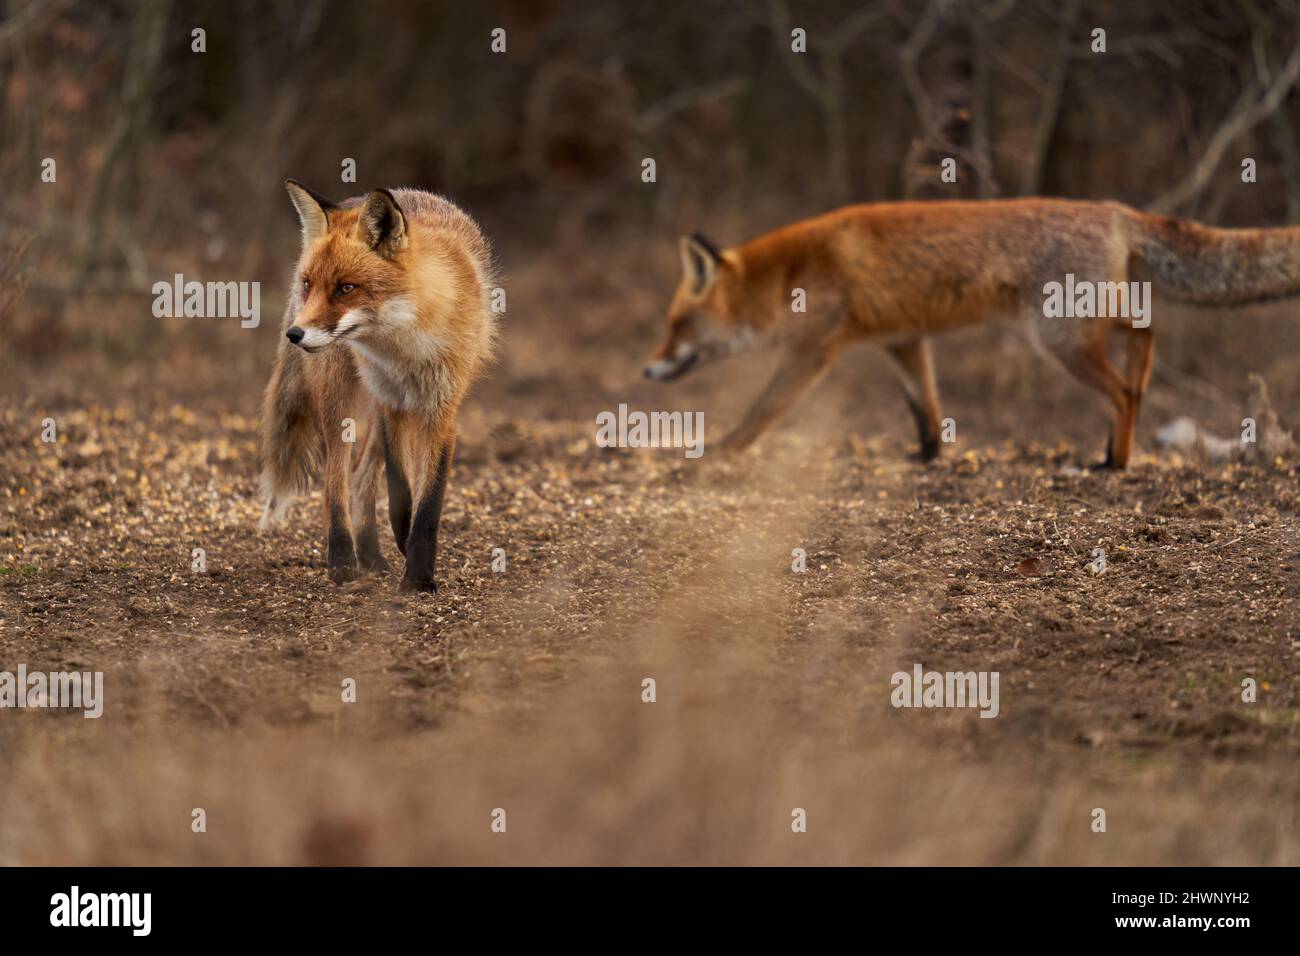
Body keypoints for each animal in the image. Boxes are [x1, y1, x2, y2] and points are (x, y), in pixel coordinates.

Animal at [258, 180, 496, 592]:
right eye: (310, 284)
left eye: (346, 288)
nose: (295, 334)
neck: (405, 347)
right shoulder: (390, 401)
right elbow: (400, 488)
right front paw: (403, 542)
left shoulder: (441, 410)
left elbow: (429, 499)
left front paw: (418, 576)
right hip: (341, 398)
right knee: (336, 480)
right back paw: (343, 558)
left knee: (358, 478)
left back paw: (371, 555)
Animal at [644, 197, 1300, 469]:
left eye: (676, 326)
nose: (648, 369)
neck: (789, 276)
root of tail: (1114, 208)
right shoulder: (903, 340)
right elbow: (925, 410)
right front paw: (929, 457)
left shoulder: (813, 351)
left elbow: (761, 411)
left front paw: (719, 453)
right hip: (1080, 321)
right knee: (1146, 331)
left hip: (1058, 336)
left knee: (1124, 392)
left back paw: (1113, 462)